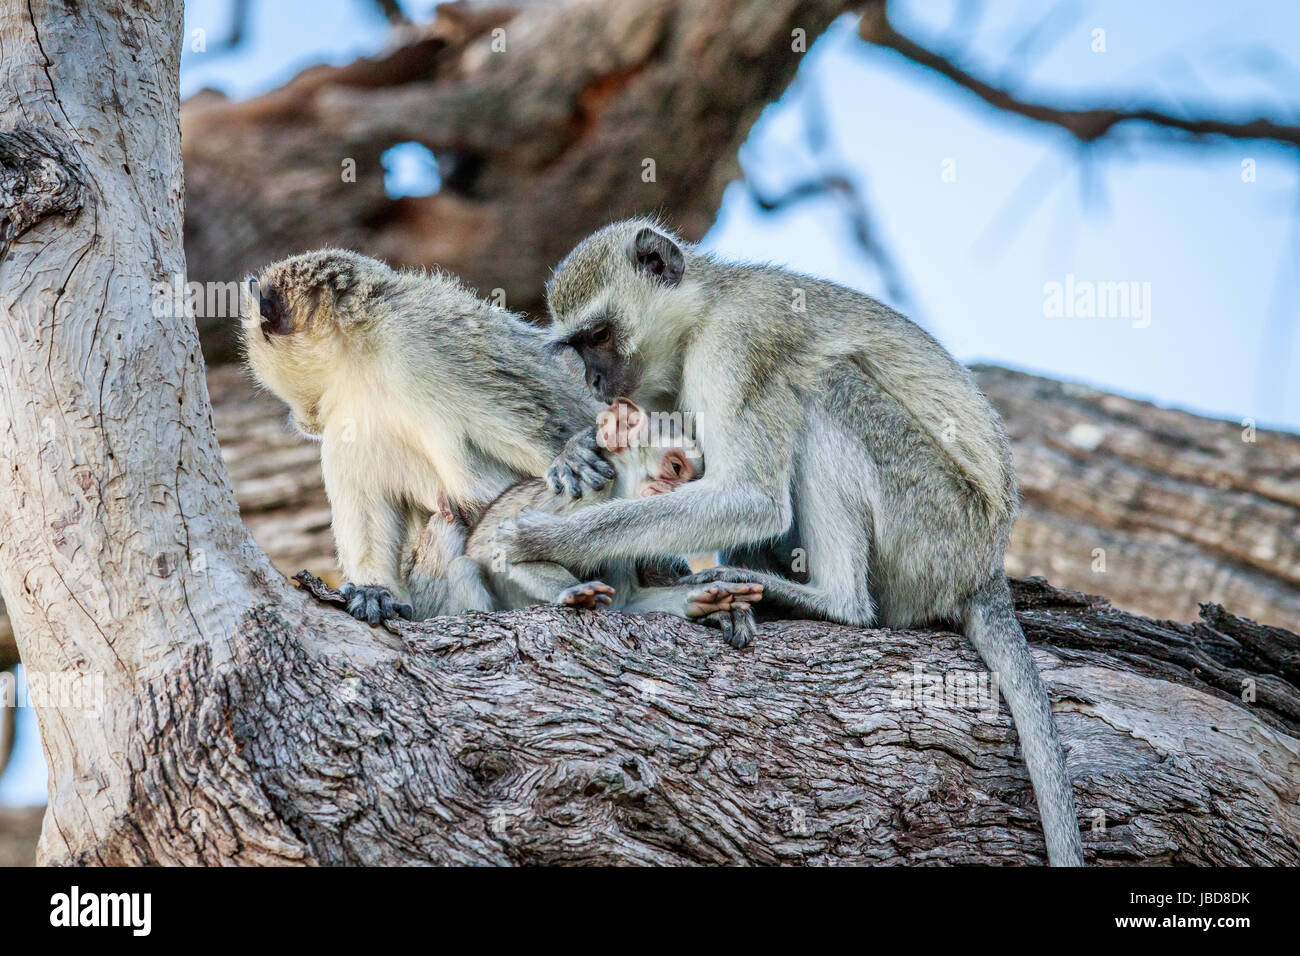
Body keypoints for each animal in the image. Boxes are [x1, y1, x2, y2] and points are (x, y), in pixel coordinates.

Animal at [447, 397, 764, 644]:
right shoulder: (584, 494)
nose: (678, 495)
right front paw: (571, 589)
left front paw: (704, 599)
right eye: (675, 467)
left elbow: (625, 602)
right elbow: (510, 556)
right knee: (463, 566)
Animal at [489, 219, 1086, 866]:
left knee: (827, 392)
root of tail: (985, 568)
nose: (596, 383)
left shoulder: (739, 348)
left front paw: (545, 537)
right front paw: (578, 453)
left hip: (935, 529)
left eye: (598, 335)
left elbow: (753, 498)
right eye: (578, 347)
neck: (702, 311)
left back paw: (827, 601)